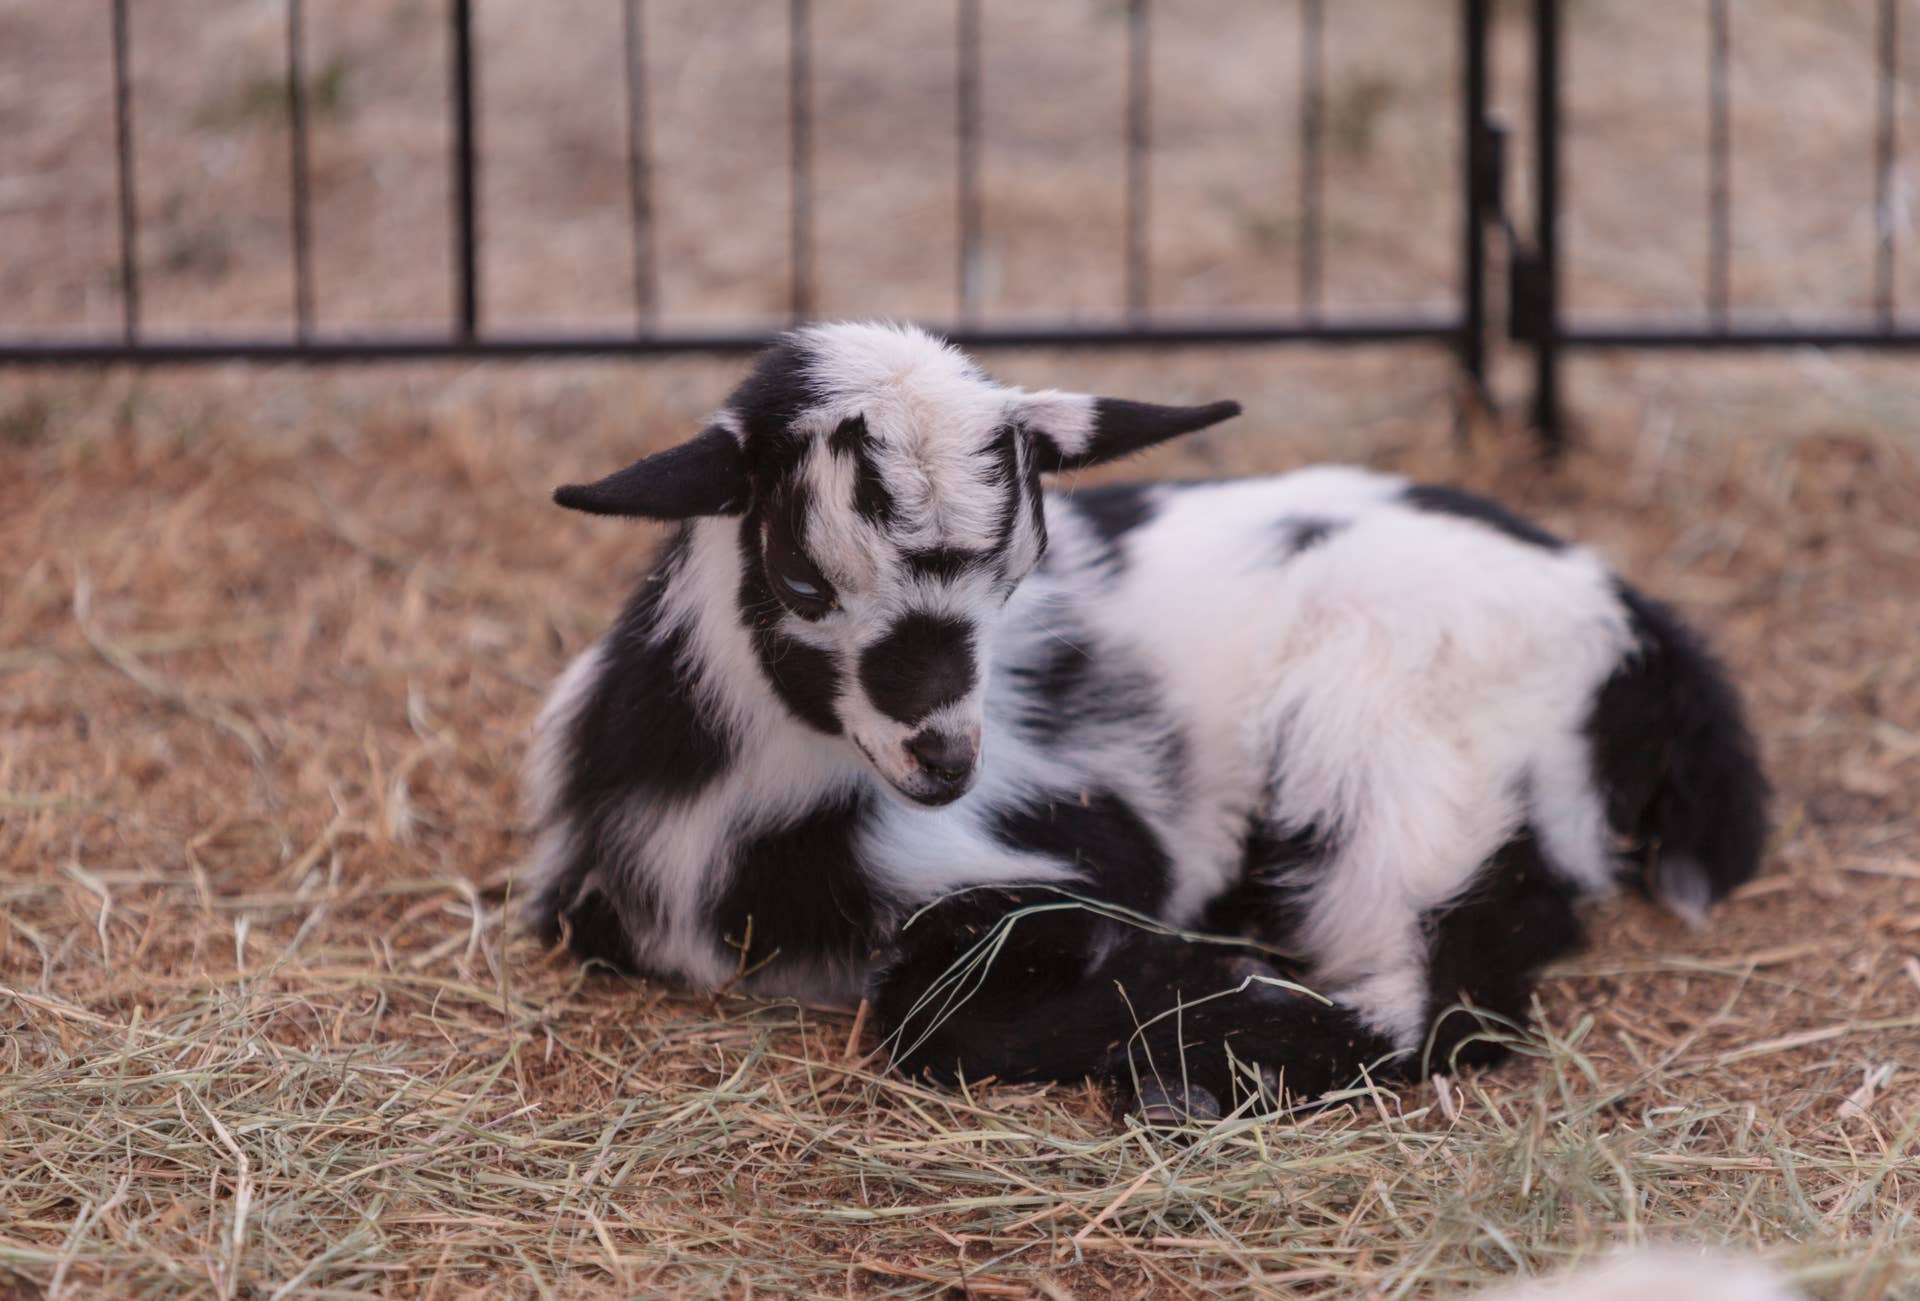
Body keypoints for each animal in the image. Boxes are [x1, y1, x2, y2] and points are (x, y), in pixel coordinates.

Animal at [525, 321, 1767, 1116]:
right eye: (799, 577)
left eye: (1020, 573)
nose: (944, 758)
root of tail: (1636, 620)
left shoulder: (1077, 853)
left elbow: (931, 1007)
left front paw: (1163, 979)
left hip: (1397, 734)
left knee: (1444, 991)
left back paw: (1192, 1070)